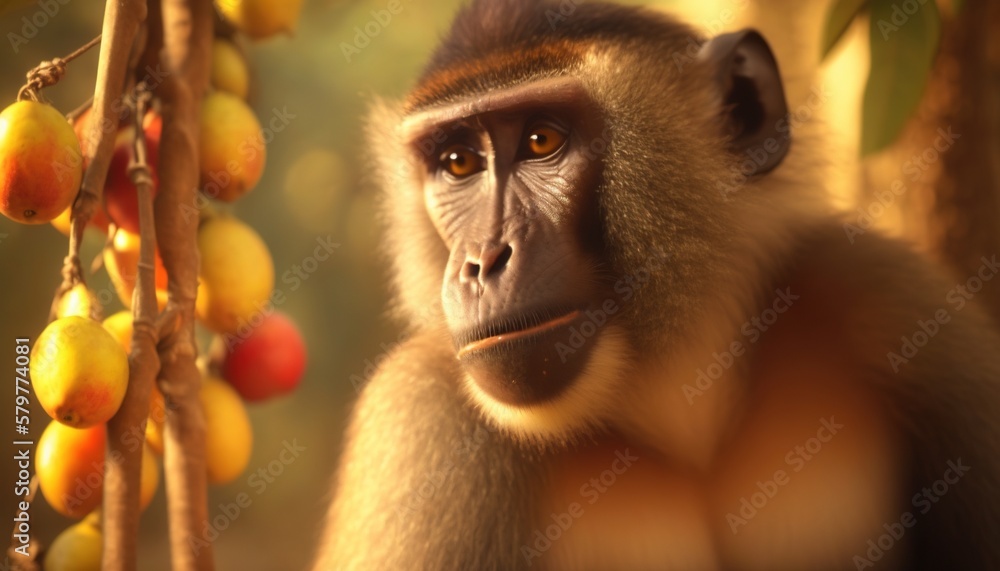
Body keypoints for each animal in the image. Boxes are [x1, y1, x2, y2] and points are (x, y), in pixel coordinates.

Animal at [313, 1, 1000, 569]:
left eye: (541, 139)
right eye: (458, 162)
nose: (482, 259)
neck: (680, 392)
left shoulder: (885, 289)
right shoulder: (421, 414)